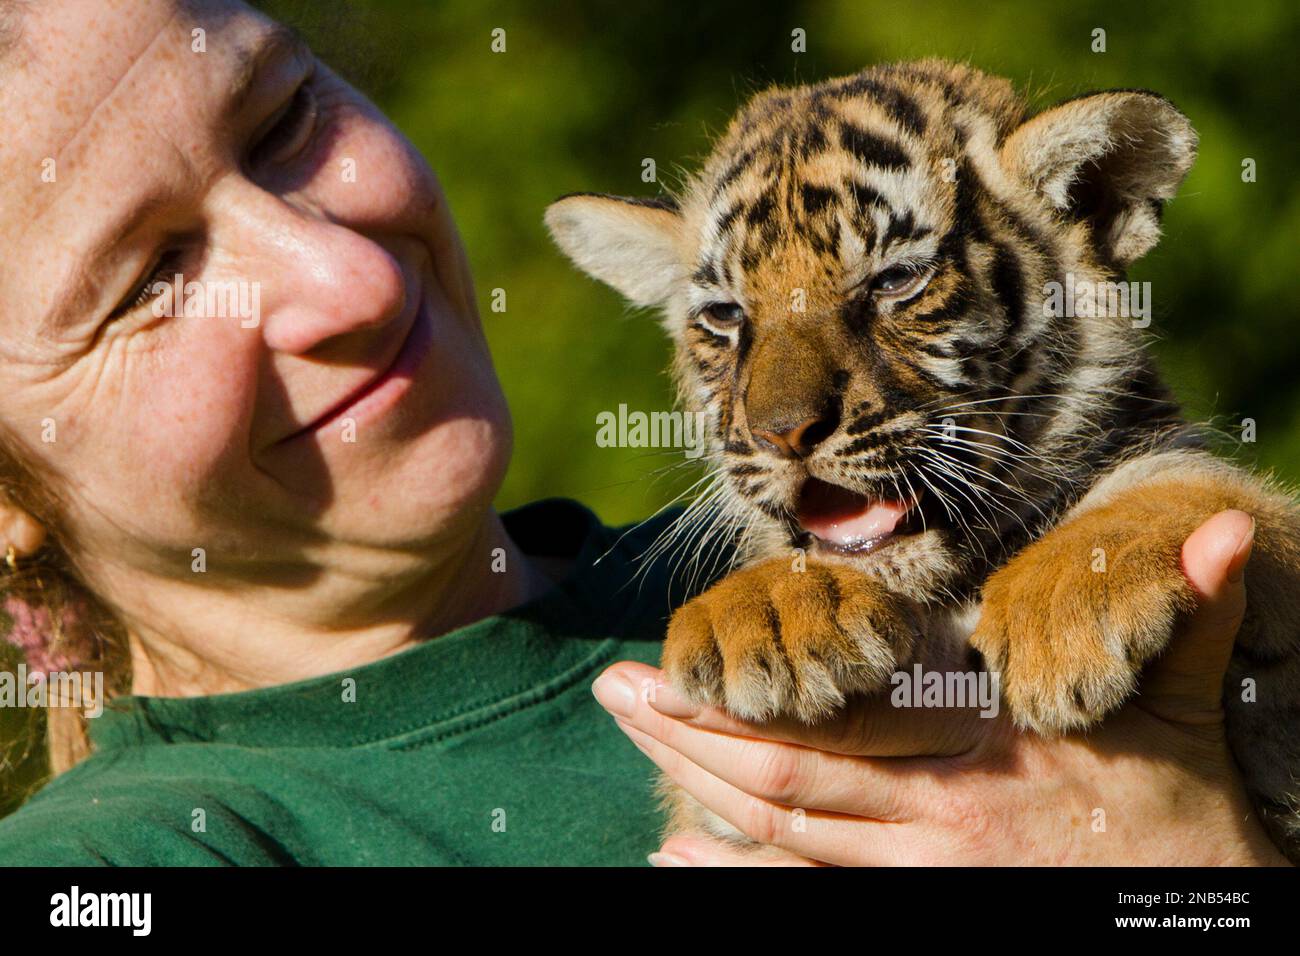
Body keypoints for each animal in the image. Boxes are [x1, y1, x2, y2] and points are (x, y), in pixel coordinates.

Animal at [545, 59, 1300, 861]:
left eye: (894, 281)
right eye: (725, 316)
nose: (784, 431)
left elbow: (1212, 489)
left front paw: (1062, 608)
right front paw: (768, 614)